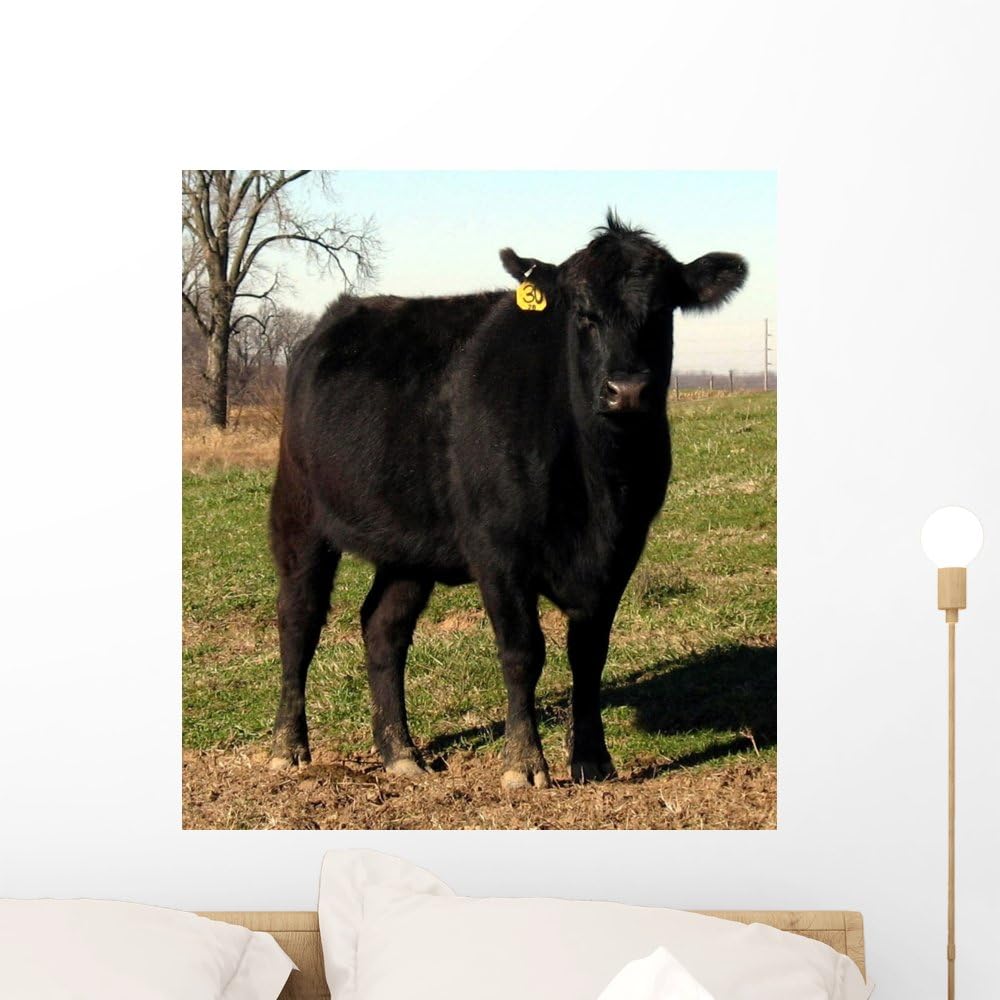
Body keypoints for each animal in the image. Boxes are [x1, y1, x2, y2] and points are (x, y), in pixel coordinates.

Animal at [268, 211, 747, 789]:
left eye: (661, 311)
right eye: (582, 314)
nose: (628, 391)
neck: (598, 485)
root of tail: (336, 317)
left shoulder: (621, 550)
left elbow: (590, 655)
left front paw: (593, 759)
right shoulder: (497, 549)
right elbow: (523, 651)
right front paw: (524, 763)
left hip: (409, 547)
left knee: (384, 628)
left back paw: (401, 753)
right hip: (298, 511)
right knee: (299, 619)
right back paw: (289, 747)